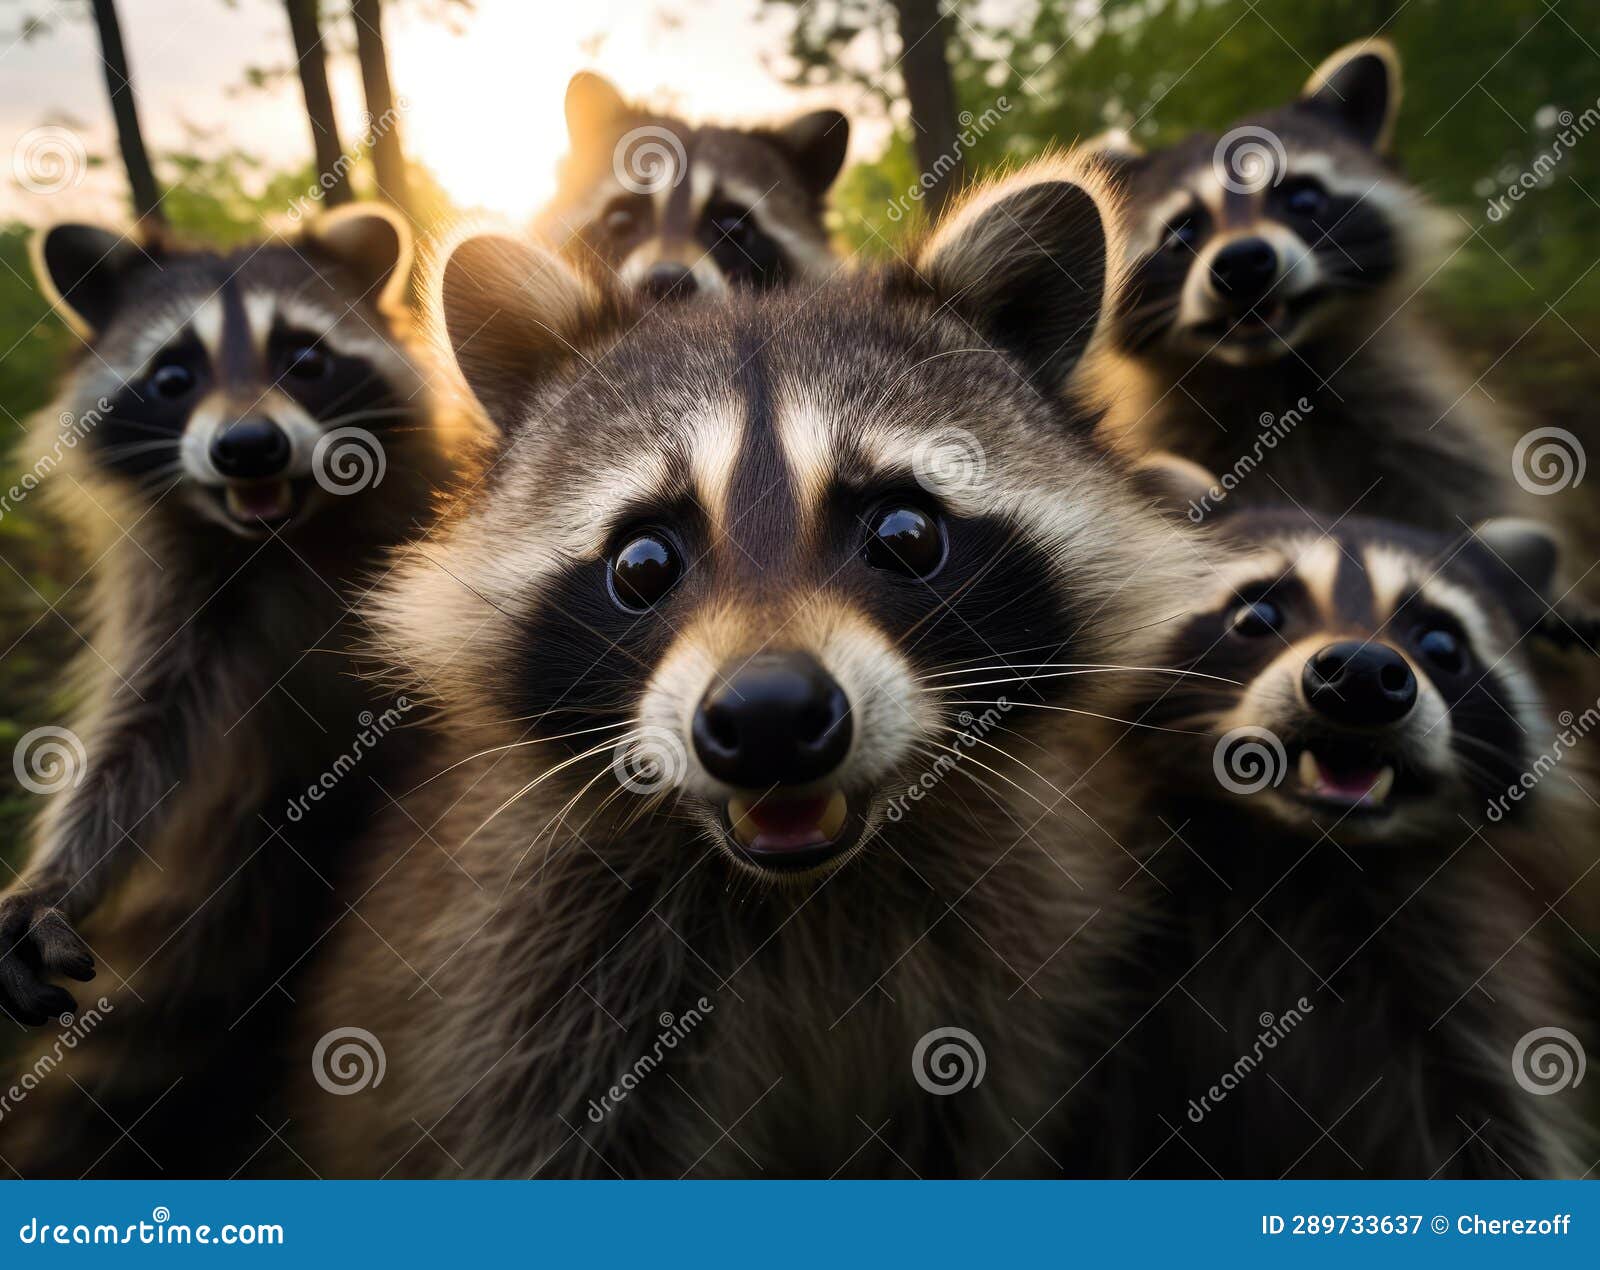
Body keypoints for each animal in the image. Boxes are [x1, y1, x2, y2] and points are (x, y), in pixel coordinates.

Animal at [0, 206, 458, 1176]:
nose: (250, 447)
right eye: (174, 376)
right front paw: (58, 876)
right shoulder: (172, 598)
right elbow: (135, 741)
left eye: (305, 359)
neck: (286, 533)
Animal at [286, 158, 1206, 1179]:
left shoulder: (1017, 962)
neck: (806, 896)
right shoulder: (517, 978)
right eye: (642, 563)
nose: (768, 715)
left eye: (905, 532)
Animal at [1076, 459, 1596, 1178]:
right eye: (1257, 613)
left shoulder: (1468, 988)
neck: (1299, 855)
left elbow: (1500, 1134)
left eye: (1442, 644)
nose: (1363, 674)